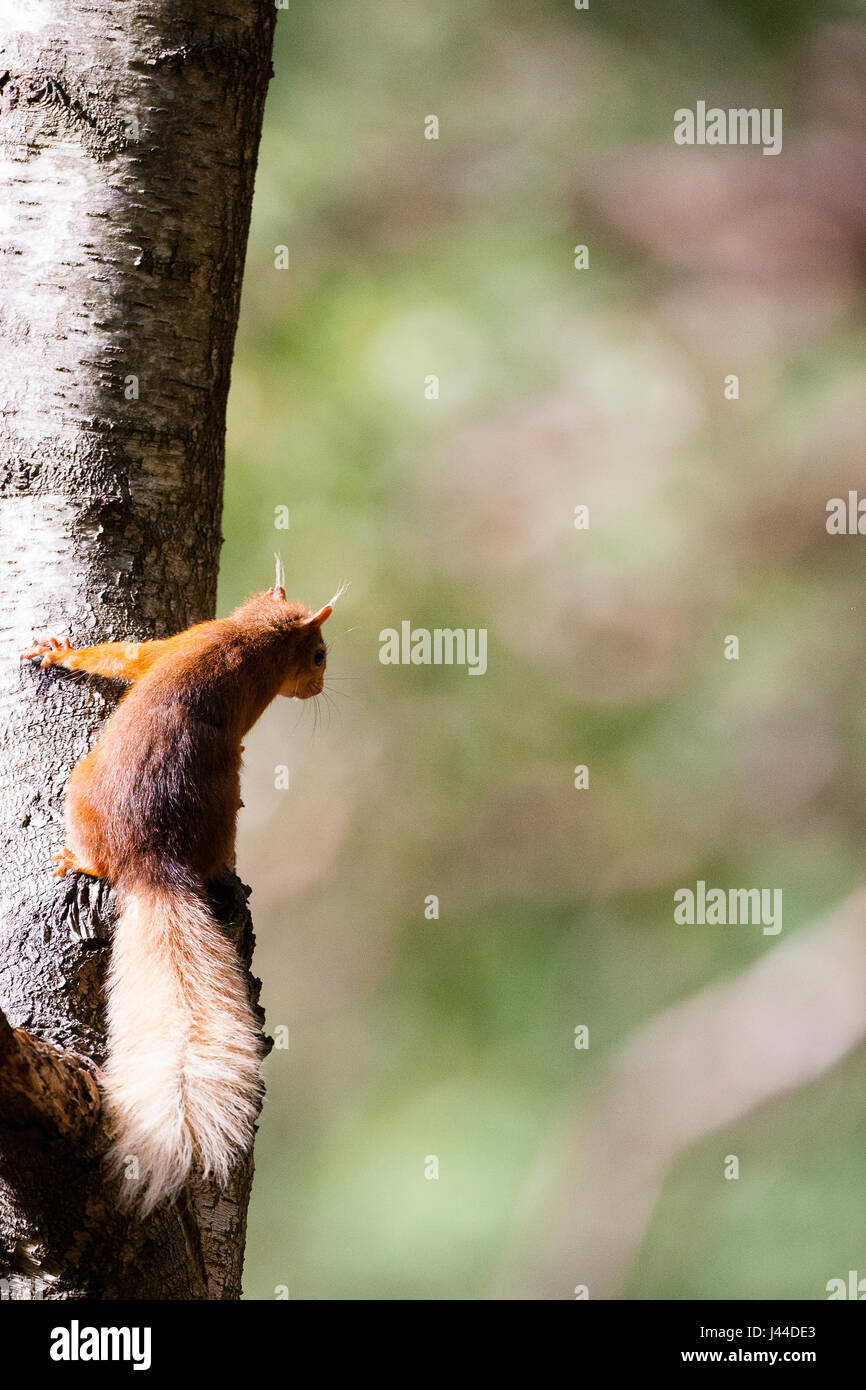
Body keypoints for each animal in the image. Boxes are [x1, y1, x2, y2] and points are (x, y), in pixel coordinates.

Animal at [20, 565, 341, 1214]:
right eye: (319, 655)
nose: (319, 686)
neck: (250, 637)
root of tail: (153, 864)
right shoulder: (189, 645)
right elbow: (129, 658)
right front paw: (57, 652)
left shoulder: (175, 647)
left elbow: (127, 658)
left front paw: (59, 653)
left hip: (79, 788)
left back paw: (78, 860)